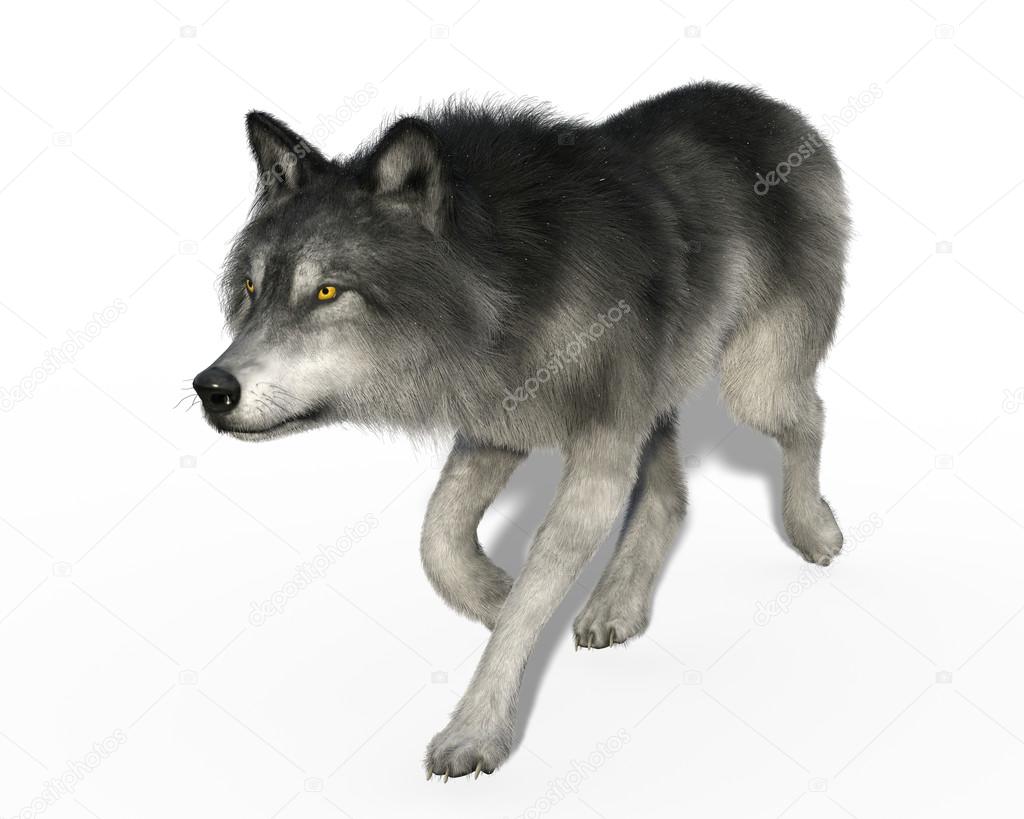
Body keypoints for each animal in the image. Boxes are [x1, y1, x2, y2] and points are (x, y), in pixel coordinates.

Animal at [193, 82, 848, 779]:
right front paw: (494, 596)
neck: (510, 288)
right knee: (671, 494)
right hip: (656, 398)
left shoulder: (599, 448)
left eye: (326, 292)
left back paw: (816, 530)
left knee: (810, 416)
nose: (211, 388)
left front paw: (476, 730)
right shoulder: (497, 429)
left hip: (753, 387)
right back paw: (617, 604)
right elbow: (437, 542)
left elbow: (531, 585)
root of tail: (767, 106)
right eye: (251, 288)